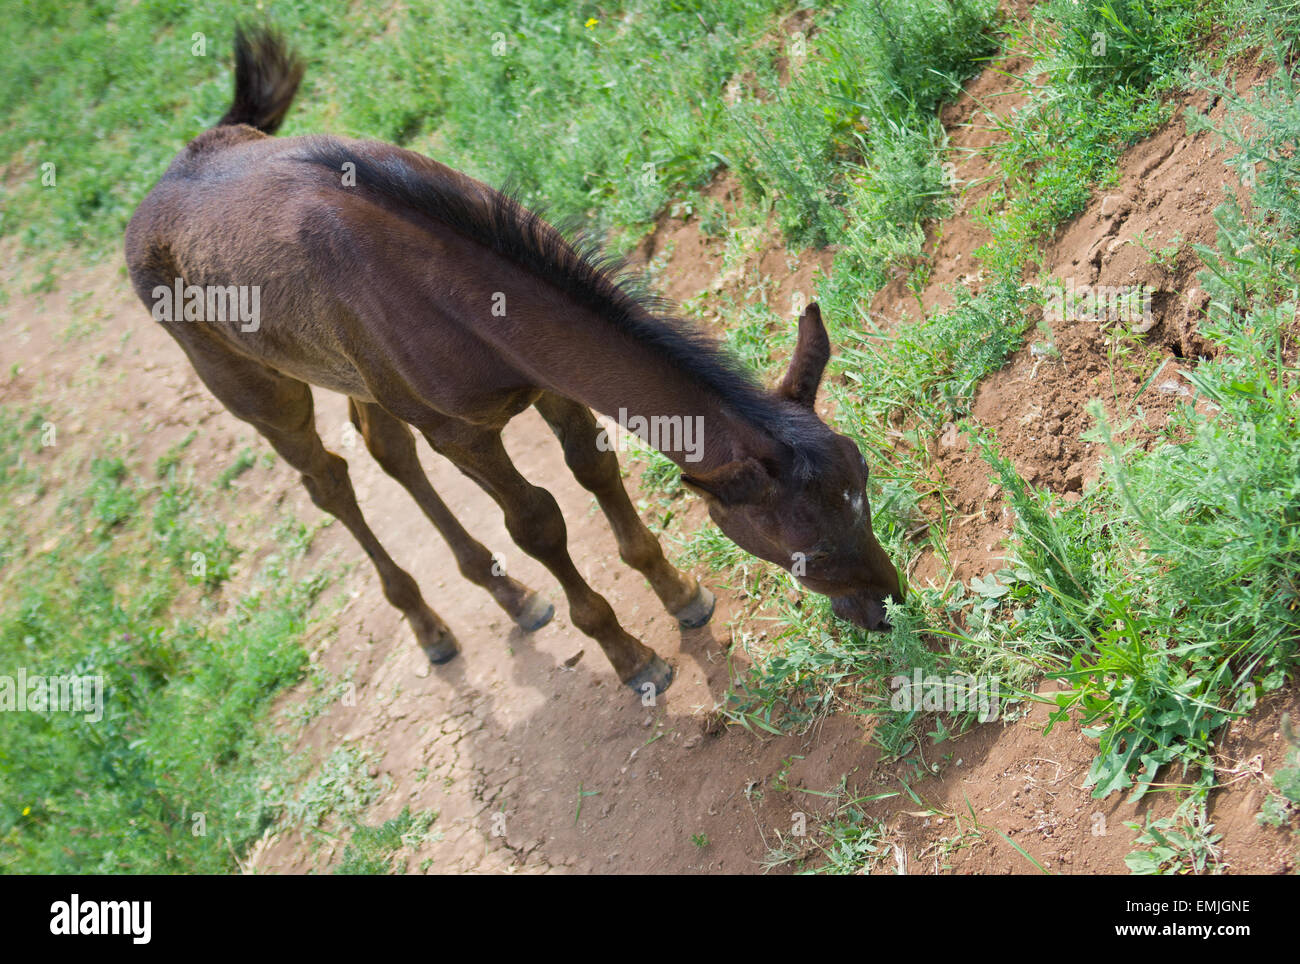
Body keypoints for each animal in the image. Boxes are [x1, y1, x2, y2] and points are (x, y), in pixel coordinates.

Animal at [124, 25, 903, 697]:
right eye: (809, 553)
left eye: (865, 483)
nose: (888, 606)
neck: (460, 298)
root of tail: (158, 187)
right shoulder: (461, 432)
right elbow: (536, 522)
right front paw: (631, 659)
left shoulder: (549, 383)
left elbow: (595, 470)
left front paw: (681, 595)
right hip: (248, 383)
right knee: (328, 479)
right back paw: (430, 626)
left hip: (354, 370)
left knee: (384, 447)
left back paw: (508, 595)